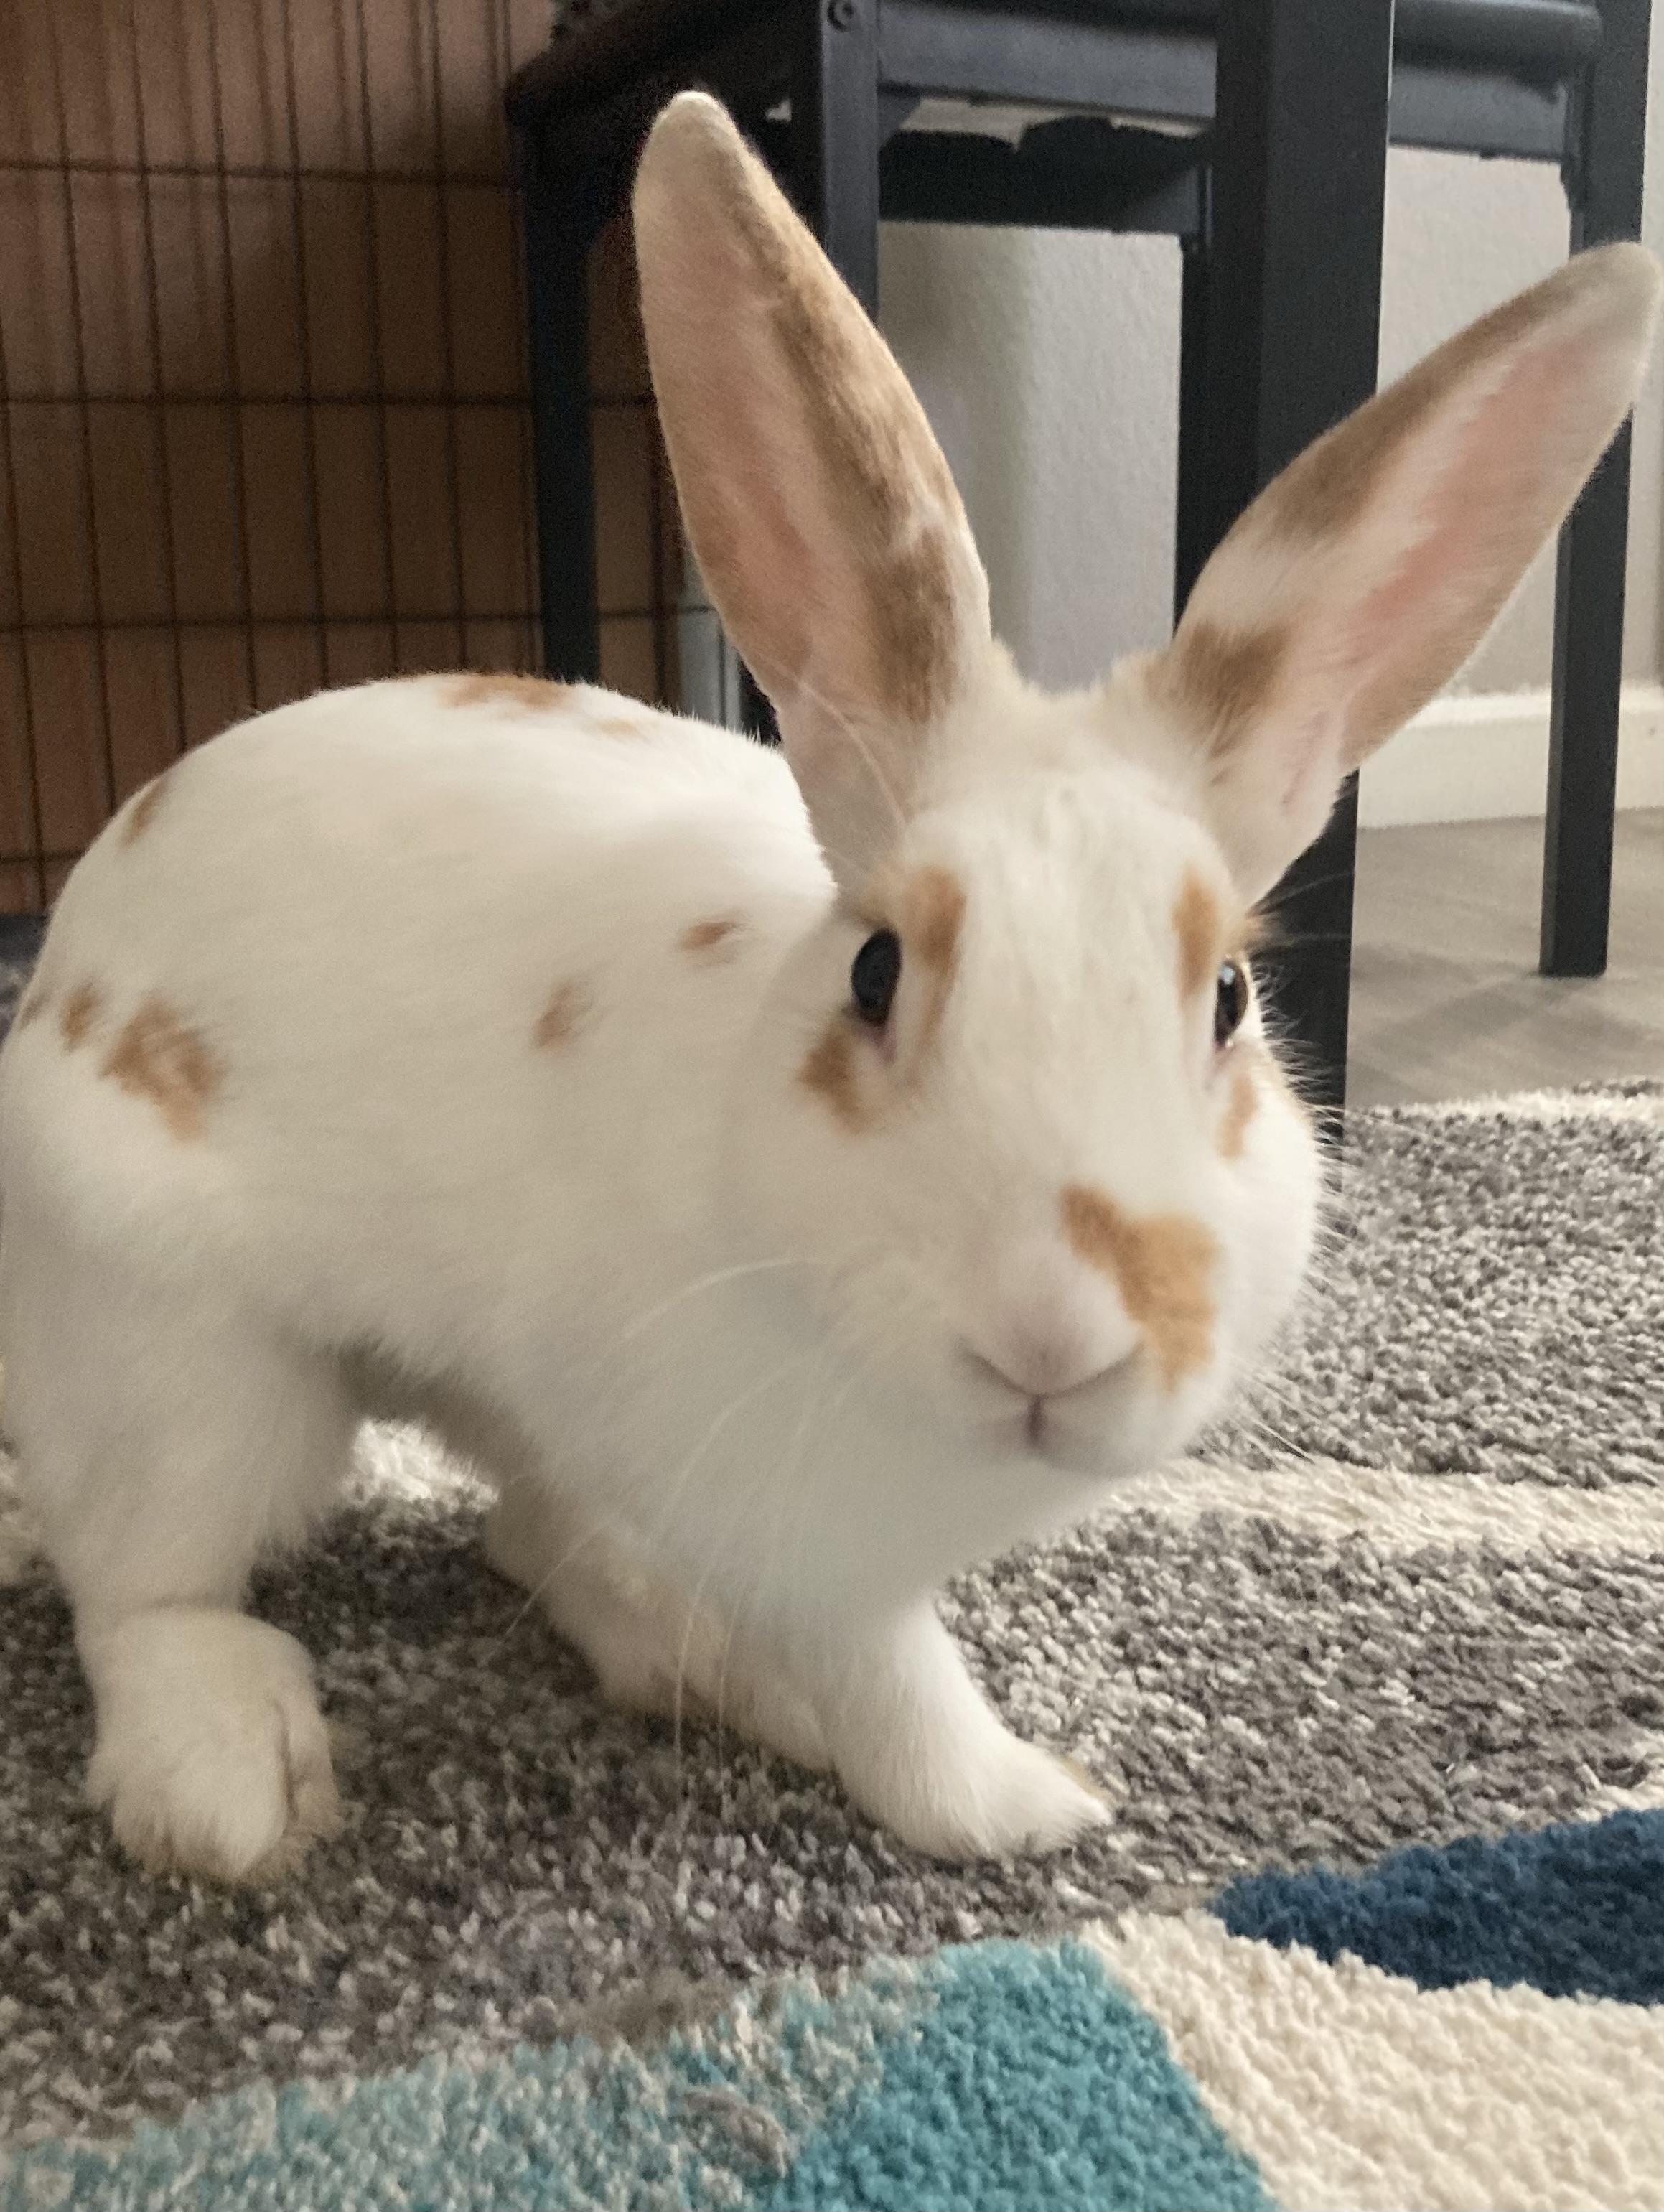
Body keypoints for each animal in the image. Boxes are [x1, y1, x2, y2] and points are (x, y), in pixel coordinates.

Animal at [0, 92, 1656, 1887]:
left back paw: (673, 1650)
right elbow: (895, 1691)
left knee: (523, 1523)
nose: (1053, 1330)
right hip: (193, 1366)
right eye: (877, 971)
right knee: (140, 1580)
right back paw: (231, 1785)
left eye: (1227, 997)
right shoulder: (816, 1557)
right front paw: (1020, 1806)